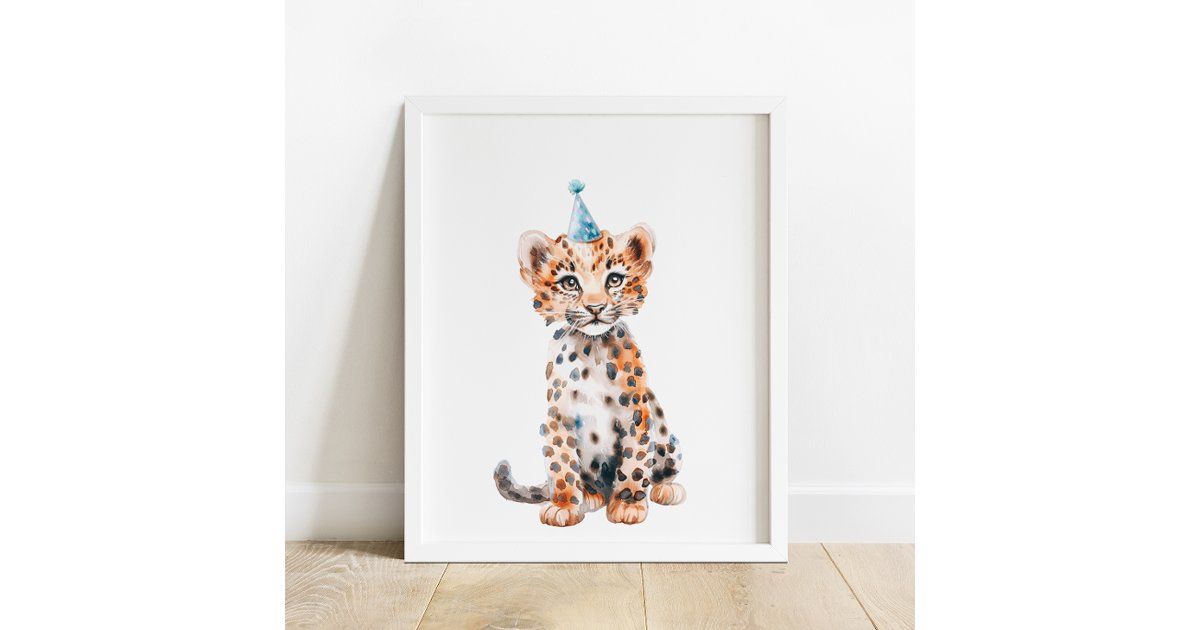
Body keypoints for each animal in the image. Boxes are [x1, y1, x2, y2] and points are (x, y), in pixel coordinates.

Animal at [493, 222, 686, 527]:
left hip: (669, 441)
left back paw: (665, 489)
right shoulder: (559, 418)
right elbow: (561, 464)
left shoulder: (636, 414)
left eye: (615, 279)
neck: (591, 348)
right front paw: (563, 506)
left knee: (661, 469)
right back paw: (590, 495)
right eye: (570, 282)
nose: (595, 307)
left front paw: (629, 504)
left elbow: (635, 460)